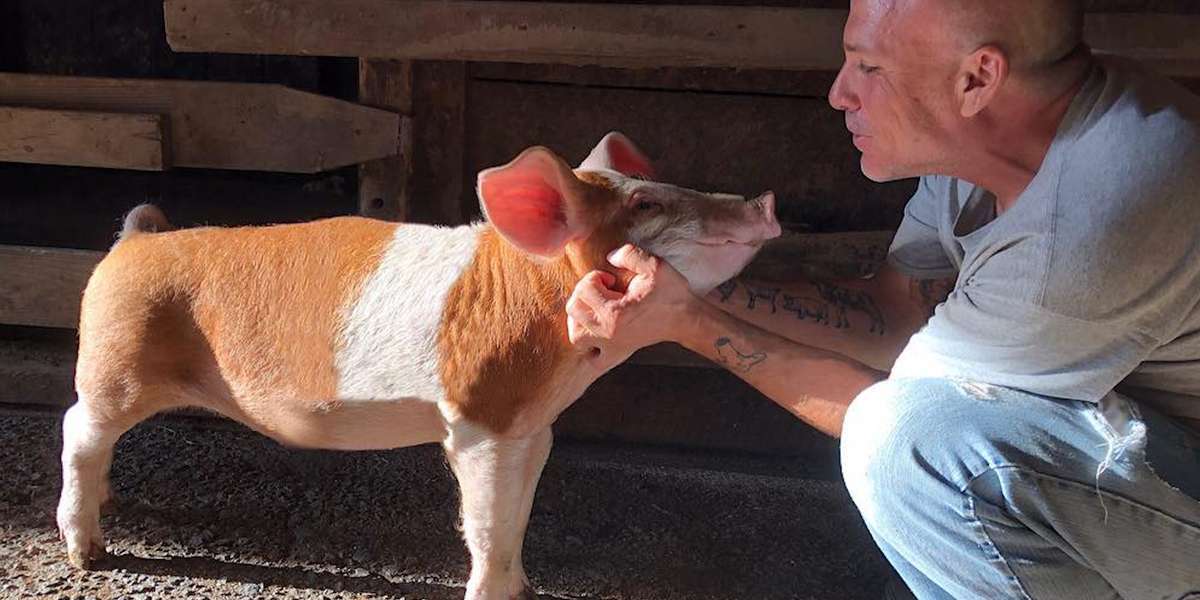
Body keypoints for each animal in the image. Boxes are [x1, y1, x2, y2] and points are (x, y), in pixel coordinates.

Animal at [57, 132, 781, 599]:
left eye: (661, 188)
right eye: (644, 206)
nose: (765, 202)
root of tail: (135, 239)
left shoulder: (533, 426)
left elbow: (519, 515)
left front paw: (525, 587)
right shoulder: (478, 417)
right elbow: (485, 524)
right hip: (114, 363)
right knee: (75, 429)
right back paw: (88, 552)